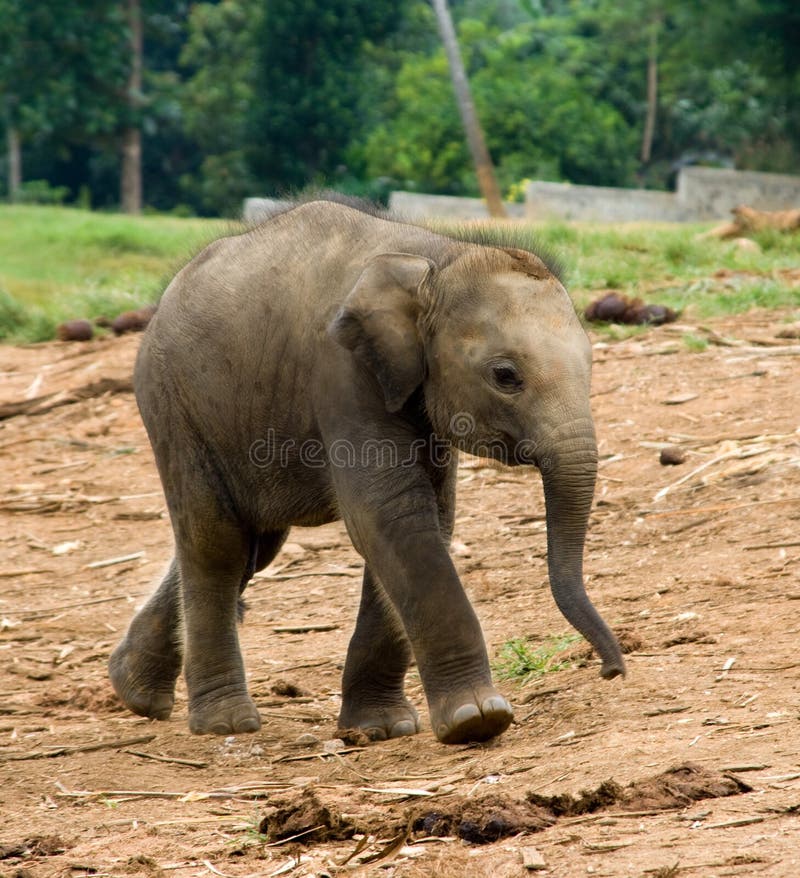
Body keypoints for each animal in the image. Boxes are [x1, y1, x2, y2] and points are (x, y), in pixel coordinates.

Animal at [109, 196, 624, 745]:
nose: (611, 671)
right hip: (174, 406)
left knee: (254, 545)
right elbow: (389, 514)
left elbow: (424, 519)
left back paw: (134, 690)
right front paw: (478, 720)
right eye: (505, 376)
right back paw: (225, 722)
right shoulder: (341, 370)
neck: (439, 256)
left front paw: (382, 728)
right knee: (217, 542)